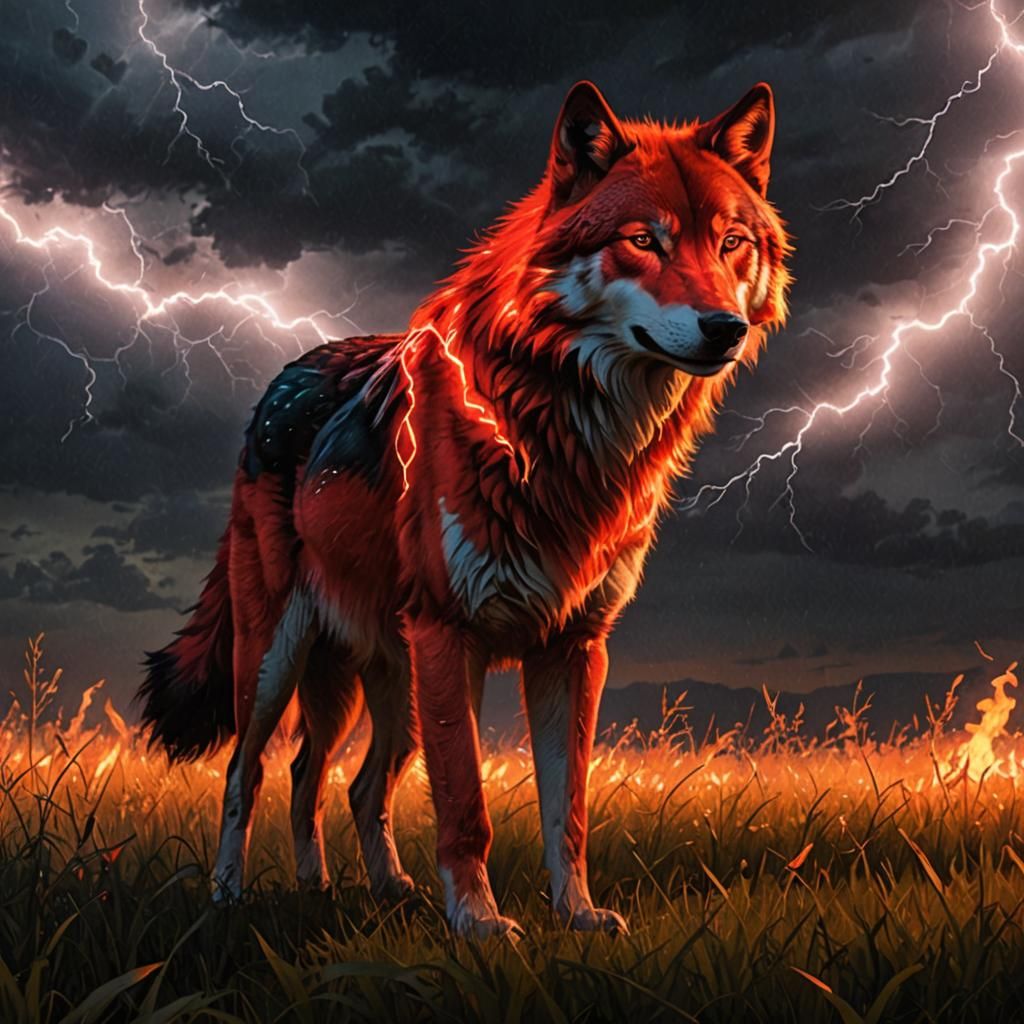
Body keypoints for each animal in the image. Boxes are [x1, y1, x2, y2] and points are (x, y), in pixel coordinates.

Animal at [137, 80, 791, 938]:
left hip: (386, 684)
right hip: (280, 664)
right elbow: (465, 807)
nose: (726, 328)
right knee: (246, 775)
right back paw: (229, 900)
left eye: (731, 243)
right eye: (644, 241)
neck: (563, 434)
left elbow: (568, 810)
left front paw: (578, 915)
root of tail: (280, 380)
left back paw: (352, 889)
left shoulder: (575, 647)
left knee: (332, 777)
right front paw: (480, 925)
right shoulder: (452, 636)